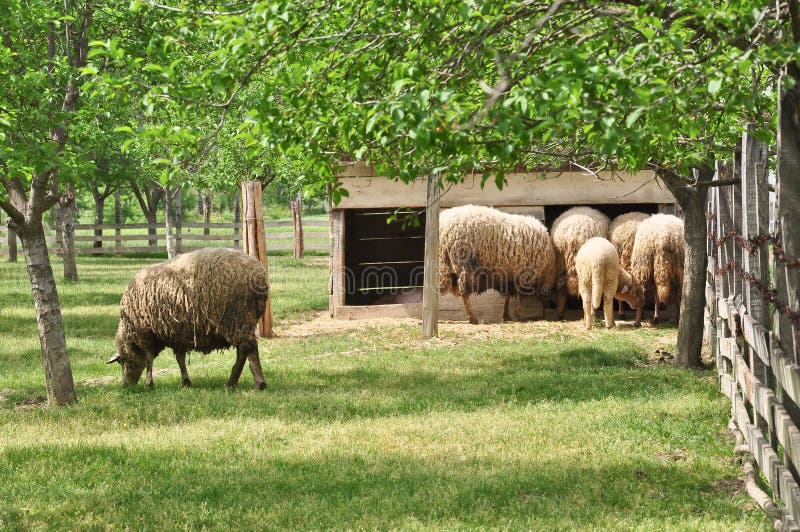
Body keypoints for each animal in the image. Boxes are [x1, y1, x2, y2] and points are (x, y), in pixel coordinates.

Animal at [108, 247, 270, 389]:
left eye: (124, 361)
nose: (125, 385)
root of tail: (259, 275)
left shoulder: (146, 334)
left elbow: (149, 359)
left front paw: (149, 383)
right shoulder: (177, 334)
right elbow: (180, 358)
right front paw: (186, 382)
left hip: (237, 318)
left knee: (248, 347)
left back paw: (256, 383)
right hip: (244, 320)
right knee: (244, 350)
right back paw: (235, 383)